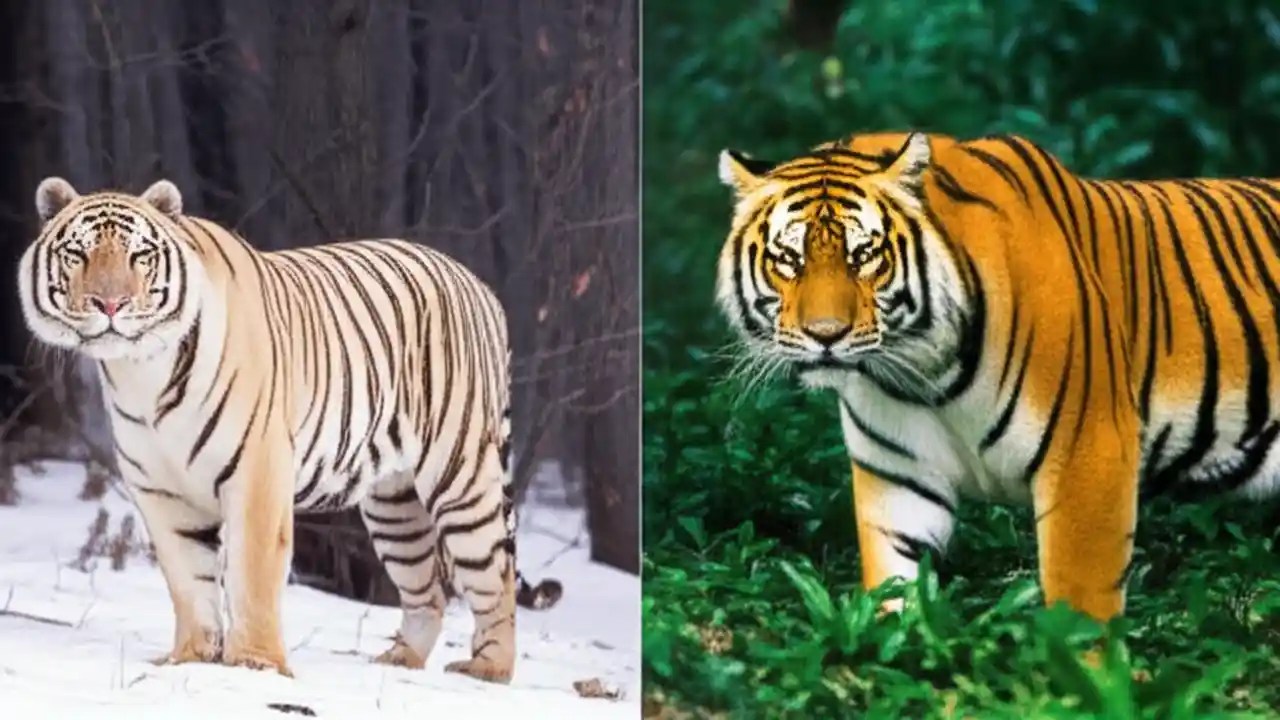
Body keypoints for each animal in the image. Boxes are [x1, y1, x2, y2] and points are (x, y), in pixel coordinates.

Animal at [17, 176, 561, 682]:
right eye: (77, 254)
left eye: (140, 256)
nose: (110, 305)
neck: (140, 371)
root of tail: (477, 284)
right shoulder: (161, 491)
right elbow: (188, 581)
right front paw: (191, 658)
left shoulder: (256, 473)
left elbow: (252, 574)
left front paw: (256, 665)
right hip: (395, 504)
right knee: (426, 590)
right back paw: (399, 660)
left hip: (461, 477)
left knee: (495, 577)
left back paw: (487, 668)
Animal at [715, 131, 1280, 623]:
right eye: (788, 258)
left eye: (864, 256)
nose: (825, 334)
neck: (925, 372)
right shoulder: (898, 480)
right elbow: (893, 595)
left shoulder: (1089, 456)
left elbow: (1081, 612)